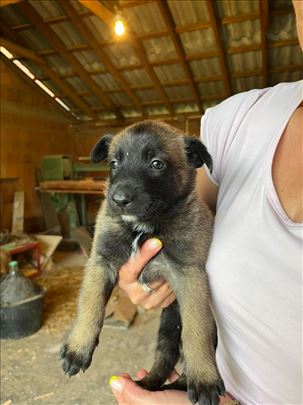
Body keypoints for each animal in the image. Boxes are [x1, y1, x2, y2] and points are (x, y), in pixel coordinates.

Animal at [59, 120, 226, 404]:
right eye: (114, 163)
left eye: (157, 164)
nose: (118, 200)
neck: (144, 227)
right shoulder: (101, 261)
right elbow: (90, 304)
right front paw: (78, 348)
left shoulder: (189, 276)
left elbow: (196, 332)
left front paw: (203, 379)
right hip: (168, 322)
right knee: (165, 354)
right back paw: (150, 383)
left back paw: (181, 381)